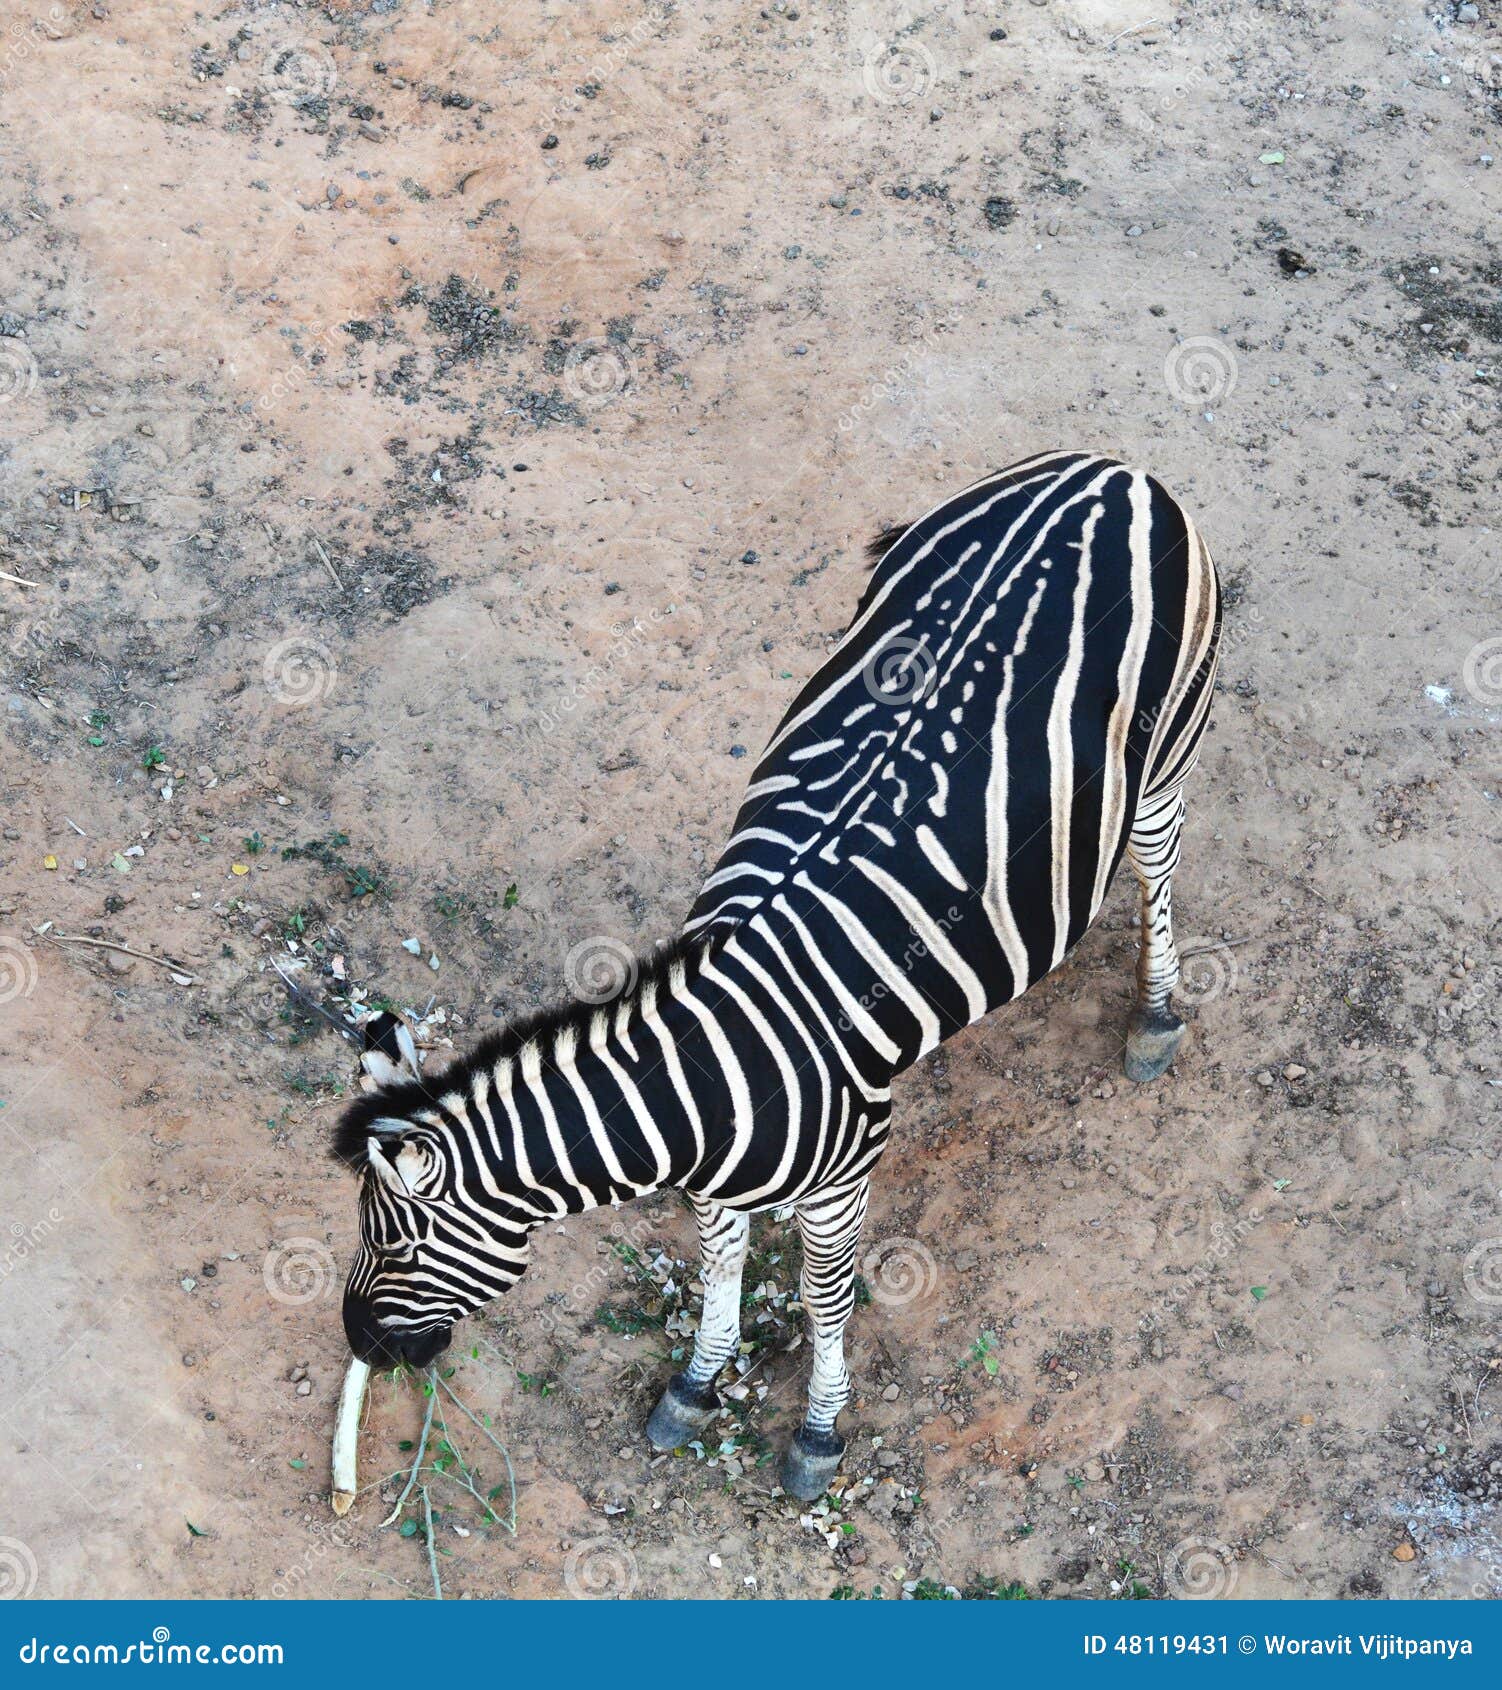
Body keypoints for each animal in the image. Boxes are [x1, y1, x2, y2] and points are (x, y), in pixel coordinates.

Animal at [334, 449, 1221, 1501]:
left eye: (392, 1242)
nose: (358, 1342)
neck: (707, 1081)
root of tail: (1109, 468)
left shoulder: (847, 1172)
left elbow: (824, 1295)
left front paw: (819, 1431)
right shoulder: (716, 1180)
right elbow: (721, 1267)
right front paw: (697, 1382)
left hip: (1168, 751)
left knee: (1158, 865)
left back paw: (1155, 1015)